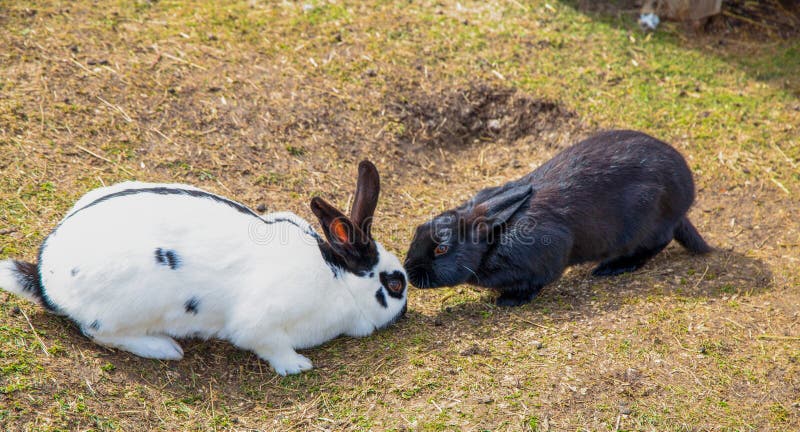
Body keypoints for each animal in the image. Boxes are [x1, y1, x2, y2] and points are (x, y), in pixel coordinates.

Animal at [0, 160, 408, 375]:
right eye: (395, 285)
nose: (404, 313)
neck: (337, 278)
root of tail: (45, 278)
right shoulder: (260, 323)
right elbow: (269, 343)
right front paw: (298, 365)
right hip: (128, 306)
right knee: (98, 332)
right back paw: (165, 348)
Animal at [404, 130, 711, 307]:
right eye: (417, 231)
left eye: (442, 249)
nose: (409, 272)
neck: (492, 239)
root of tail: (685, 195)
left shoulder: (549, 251)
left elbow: (539, 280)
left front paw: (510, 300)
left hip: (647, 222)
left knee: (657, 242)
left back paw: (611, 268)